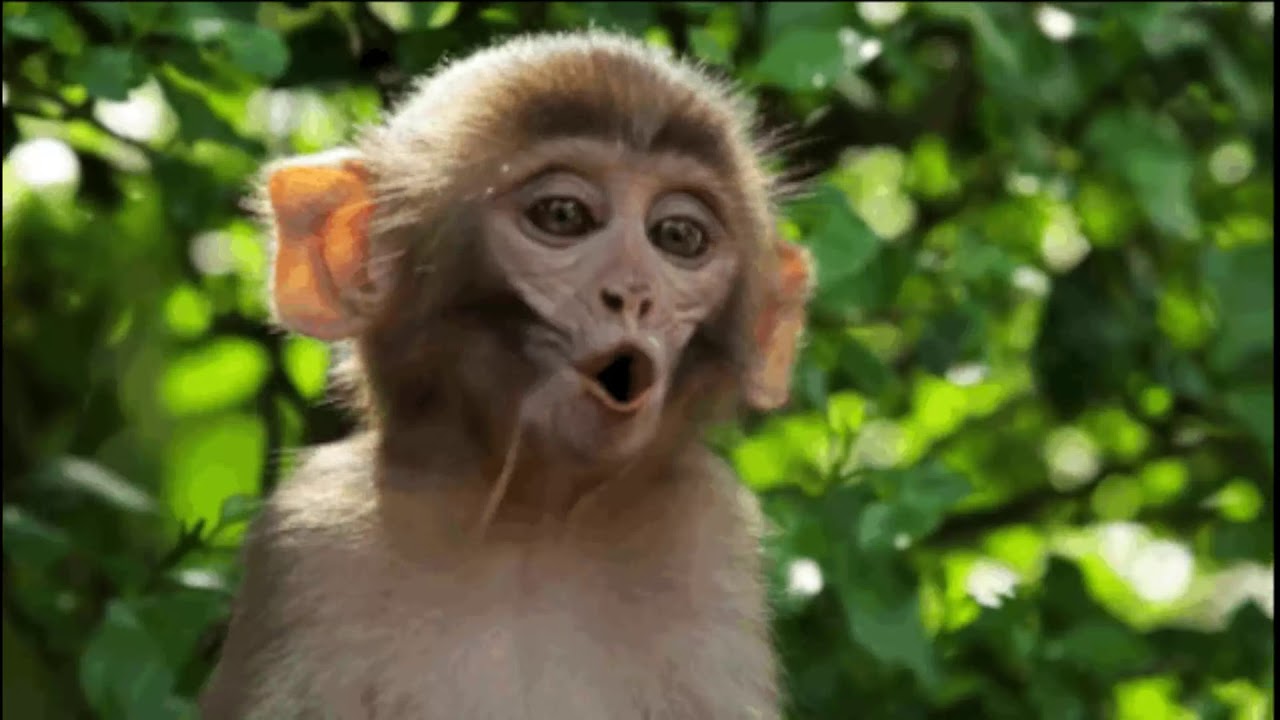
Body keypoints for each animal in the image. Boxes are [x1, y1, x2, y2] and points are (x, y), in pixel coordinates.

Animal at [200, 30, 814, 720]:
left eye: (678, 236)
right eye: (563, 215)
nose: (634, 295)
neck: (532, 523)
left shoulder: (710, 539)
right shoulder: (310, 546)